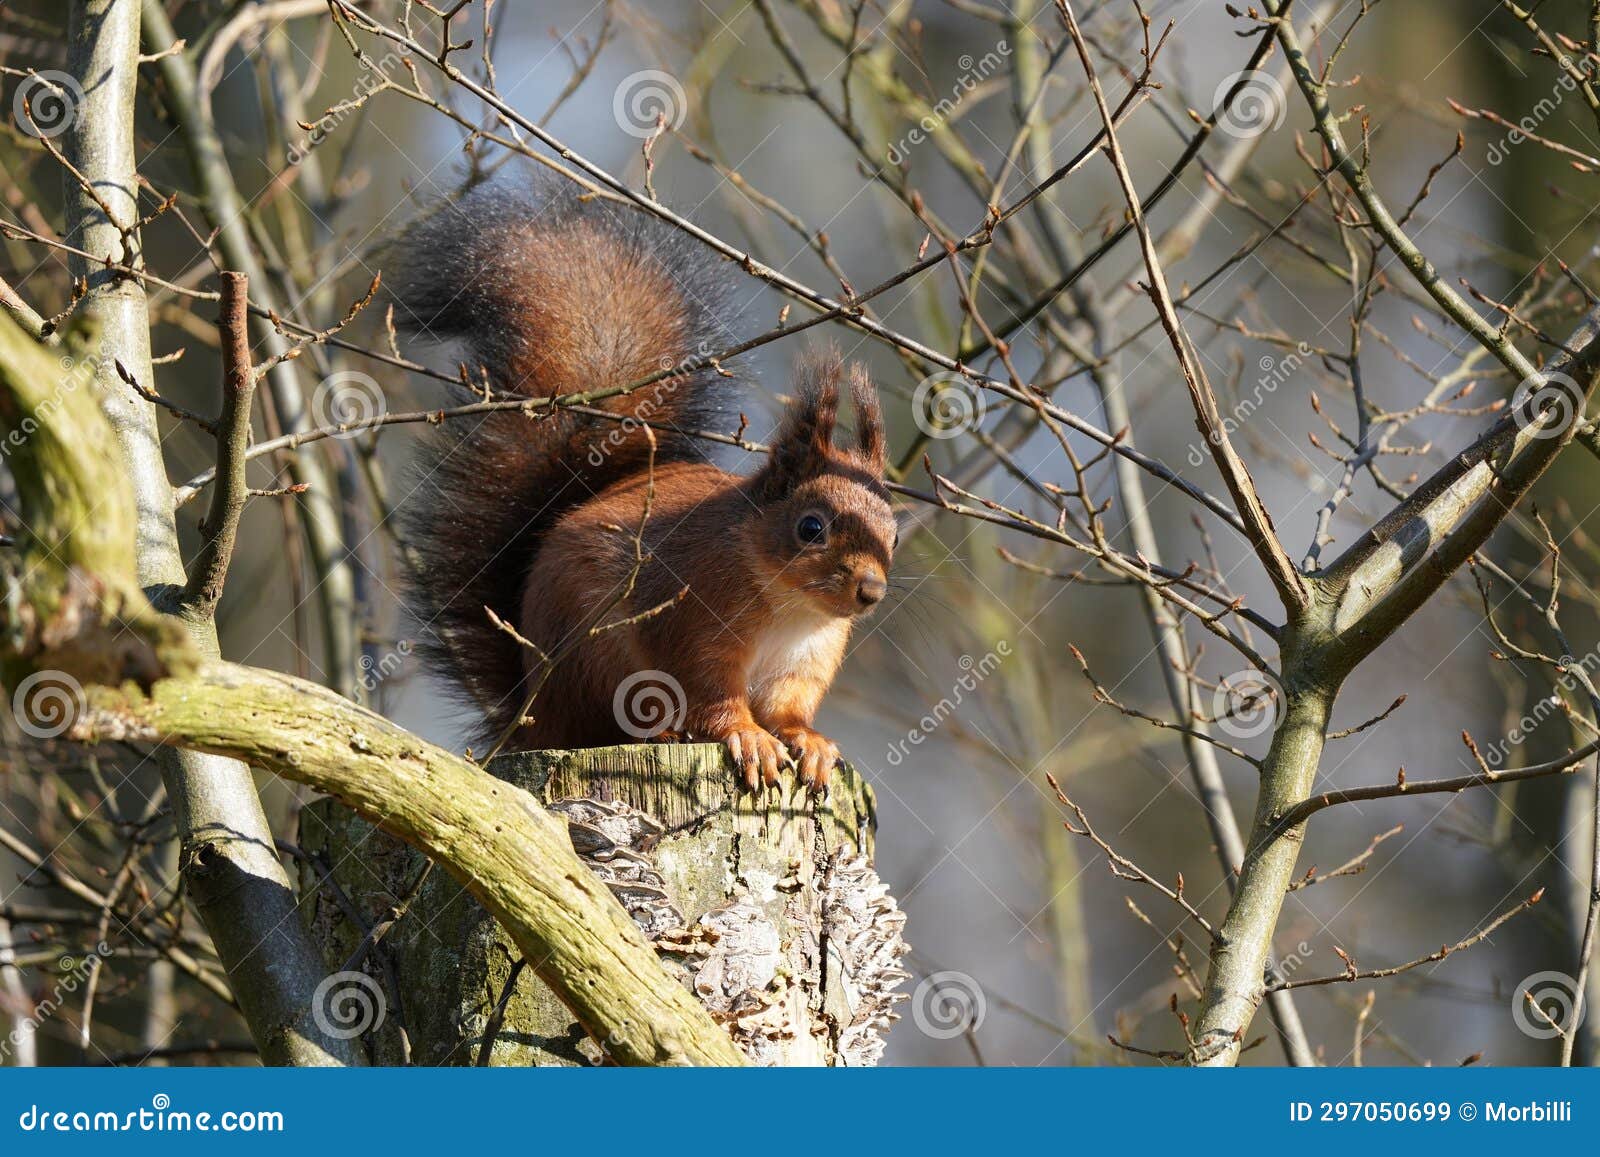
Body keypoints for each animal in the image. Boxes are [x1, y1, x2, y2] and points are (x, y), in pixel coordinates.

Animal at [390, 179, 898, 792]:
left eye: (895, 535)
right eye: (810, 527)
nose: (870, 591)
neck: (791, 606)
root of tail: (534, 716)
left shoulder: (806, 661)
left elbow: (789, 710)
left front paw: (811, 743)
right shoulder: (693, 616)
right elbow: (709, 692)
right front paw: (748, 737)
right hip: (595, 662)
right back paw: (663, 734)